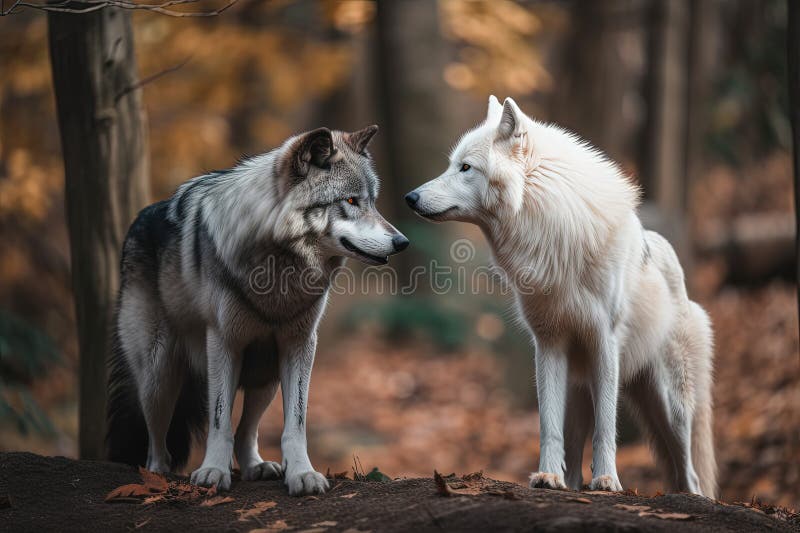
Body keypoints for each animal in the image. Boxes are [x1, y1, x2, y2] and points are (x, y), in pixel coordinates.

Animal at [106, 125, 409, 495]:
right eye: (351, 201)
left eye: (374, 202)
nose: (402, 243)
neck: (278, 270)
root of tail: (138, 220)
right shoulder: (223, 342)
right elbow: (220, 420)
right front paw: (213, 471)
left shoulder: (300, 345)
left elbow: (295, 422)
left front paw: (302, 474)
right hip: (158, 374)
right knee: (156, 443)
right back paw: (158, 476)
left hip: (264, 371)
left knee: (246, 432)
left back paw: (256, 467)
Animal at [405, 96, 716, 497]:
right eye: (451, 165)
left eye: (465, 168)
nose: (410, 197)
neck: (550, 234)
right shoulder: (548, 344)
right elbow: (548, 426)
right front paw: (547, 477)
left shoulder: (604, 342)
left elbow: (607, 428)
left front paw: (607, 480)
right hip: (580, 389)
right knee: (577, 459)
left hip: (667, 402)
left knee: (689, 472)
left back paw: (690, 496)